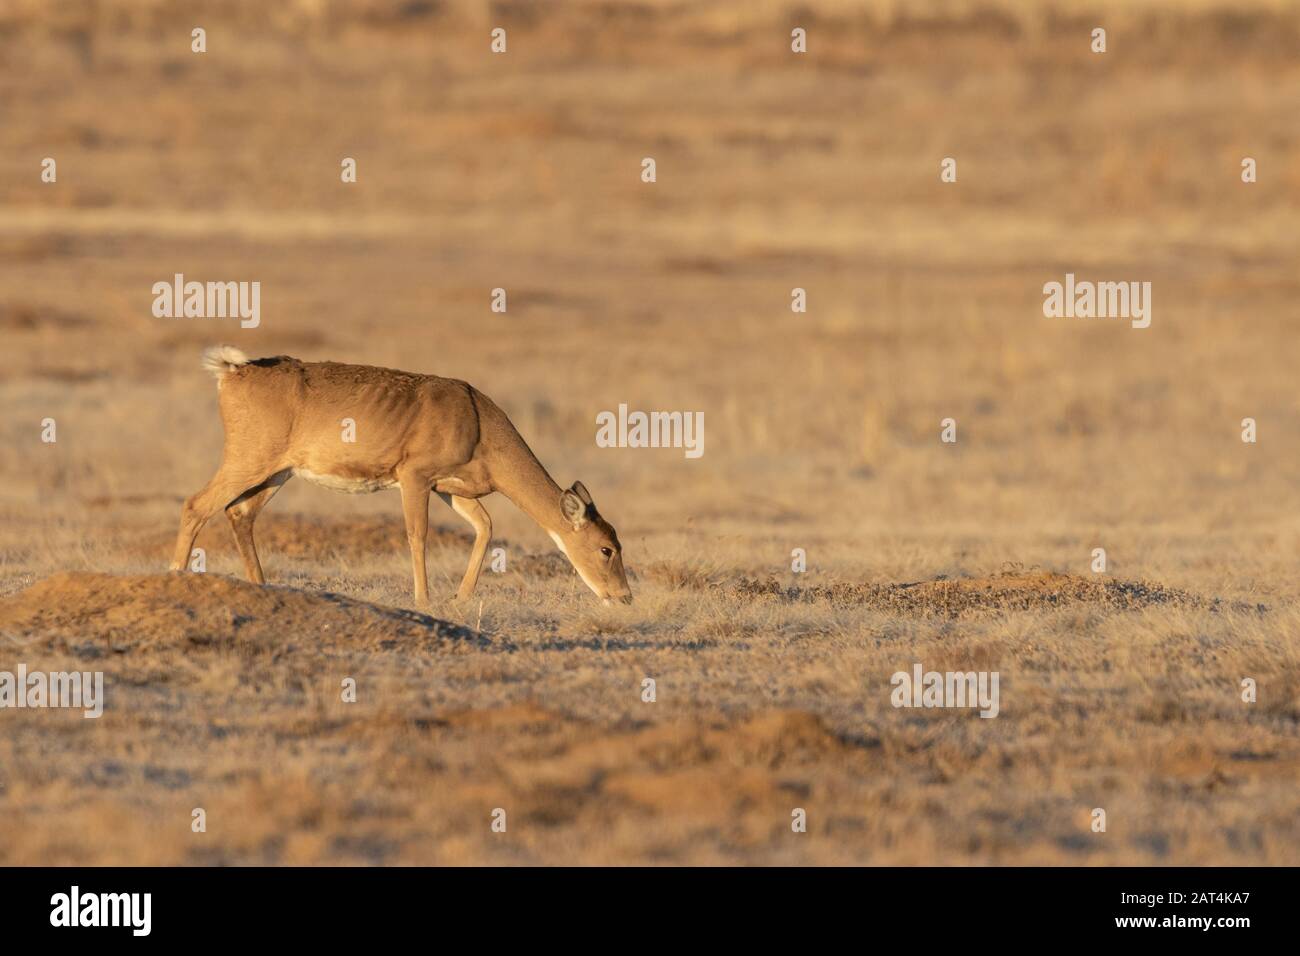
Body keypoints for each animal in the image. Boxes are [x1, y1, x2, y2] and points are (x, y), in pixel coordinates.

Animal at [169, 346, 632, 606]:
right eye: (607, 549)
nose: (624, 597)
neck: (481, 429)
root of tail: (230, 372)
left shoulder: (451, 488)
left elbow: (485, 525)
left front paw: (461, 597)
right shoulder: (414, 474)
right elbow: (417, 534)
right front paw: (424, 598)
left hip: (279, 470)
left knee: (239, 512)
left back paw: (262, 586)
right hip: (249, 456)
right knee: (196, 504)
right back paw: (175, 576)